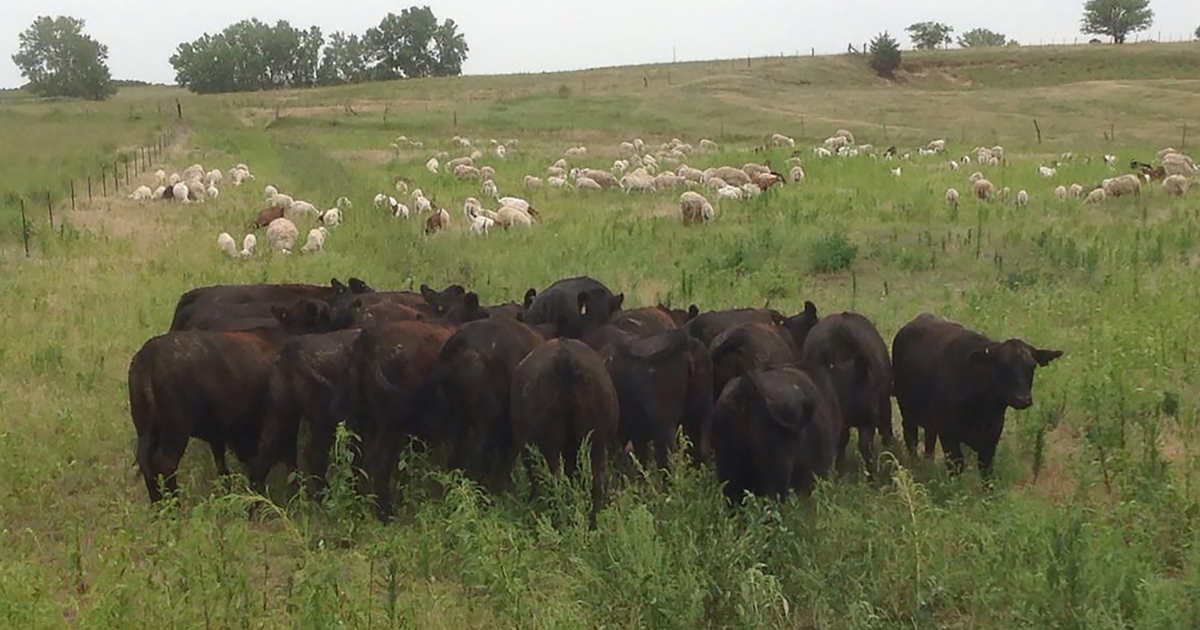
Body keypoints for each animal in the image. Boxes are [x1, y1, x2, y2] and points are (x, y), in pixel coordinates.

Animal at [892, 314, 1062, 476]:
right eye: (1002, 365)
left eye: (1032, 366)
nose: (1022, 399)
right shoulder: (948, 433)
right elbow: (956, 465)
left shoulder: (991, 437)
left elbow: (986, 470)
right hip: (907, 411)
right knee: (911, 438)